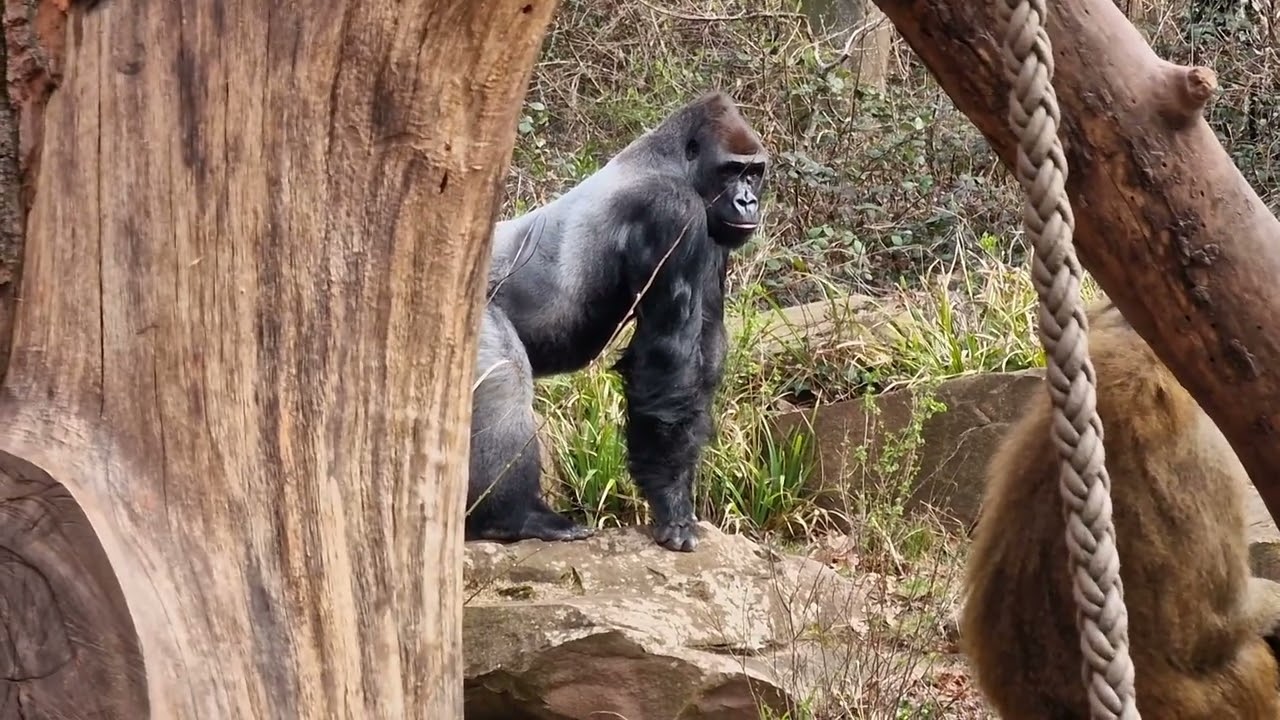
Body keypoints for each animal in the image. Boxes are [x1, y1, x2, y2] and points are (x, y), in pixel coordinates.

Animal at [467, 91, 770, 552]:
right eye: (731, 171)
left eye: (754, 173)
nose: (747, 202)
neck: (670, 159)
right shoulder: (673, 211)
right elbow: (667, 361)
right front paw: (670, 500)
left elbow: (705, 353)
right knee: (505, 379)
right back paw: (512, 517)